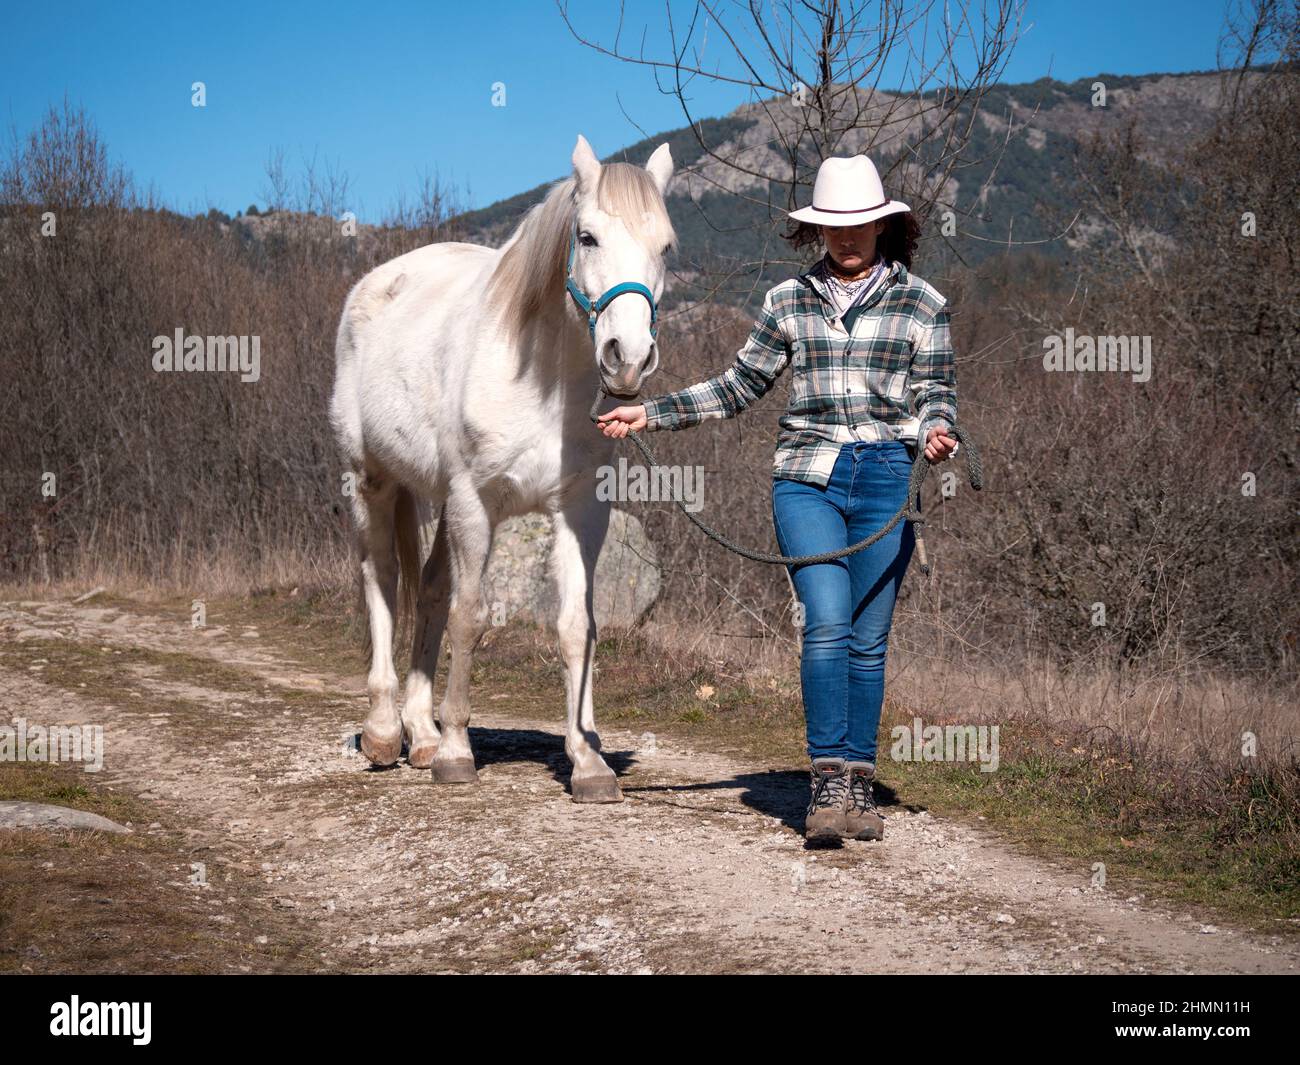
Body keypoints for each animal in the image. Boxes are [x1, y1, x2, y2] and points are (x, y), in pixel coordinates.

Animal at [329, 135, 674, 802]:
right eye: (587, 236)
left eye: (665, 246)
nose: (628, 358)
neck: (540, 378)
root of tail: (374, 285)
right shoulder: (474, 501)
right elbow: (470, 617)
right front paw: (457, 753)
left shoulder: (579, 511)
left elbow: (575, 626)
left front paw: (587, 760)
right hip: (372, 483)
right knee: (381, 580)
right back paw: (385, 732)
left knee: (428, 589)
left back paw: (421, 732)